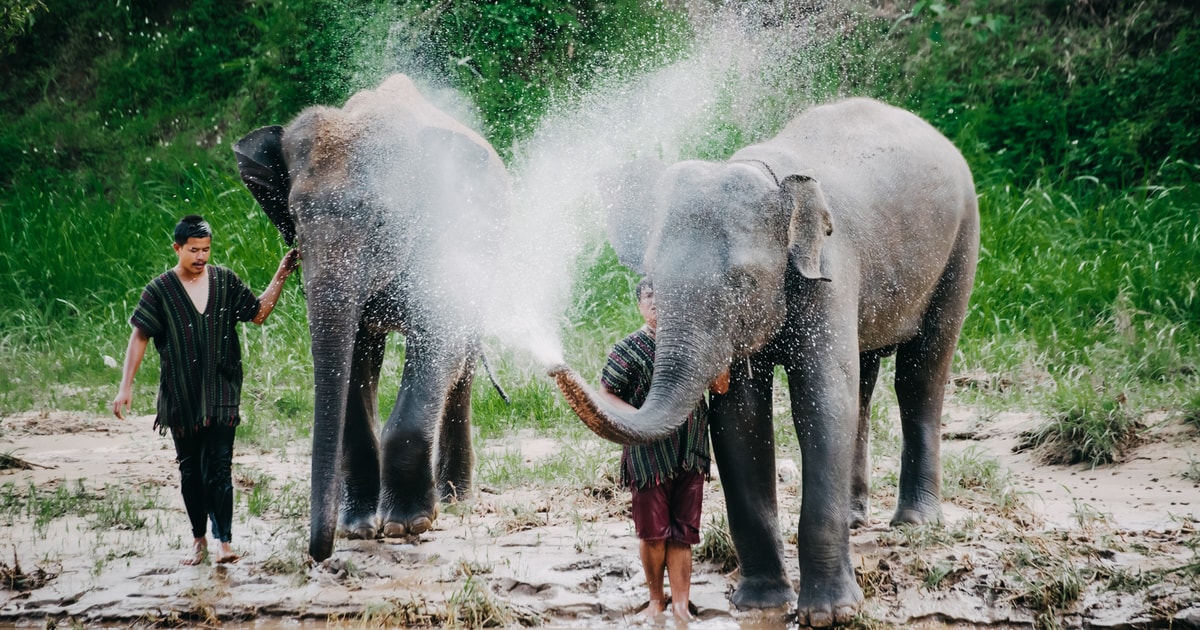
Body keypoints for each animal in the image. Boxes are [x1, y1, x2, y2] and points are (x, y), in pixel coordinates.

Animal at [233, 74, 509, 561]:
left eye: (382, 220)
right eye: (296, 221)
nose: (319, 552)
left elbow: (435, 342)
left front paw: (406, 525)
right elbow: (354, 361)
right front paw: (359, 529)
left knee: (463, 365)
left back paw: (455, 496)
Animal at [550, 97, 978, 625]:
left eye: (744, 282)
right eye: (651, 278)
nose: (554, 365)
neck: (767, 178)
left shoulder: (830, 271)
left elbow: (820, 403)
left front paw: (829, 614)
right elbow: (740, 419)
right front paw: (760, 604)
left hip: (962, 241)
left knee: (920, 375)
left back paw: (915, 523)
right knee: (862, 380)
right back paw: (856, 517)